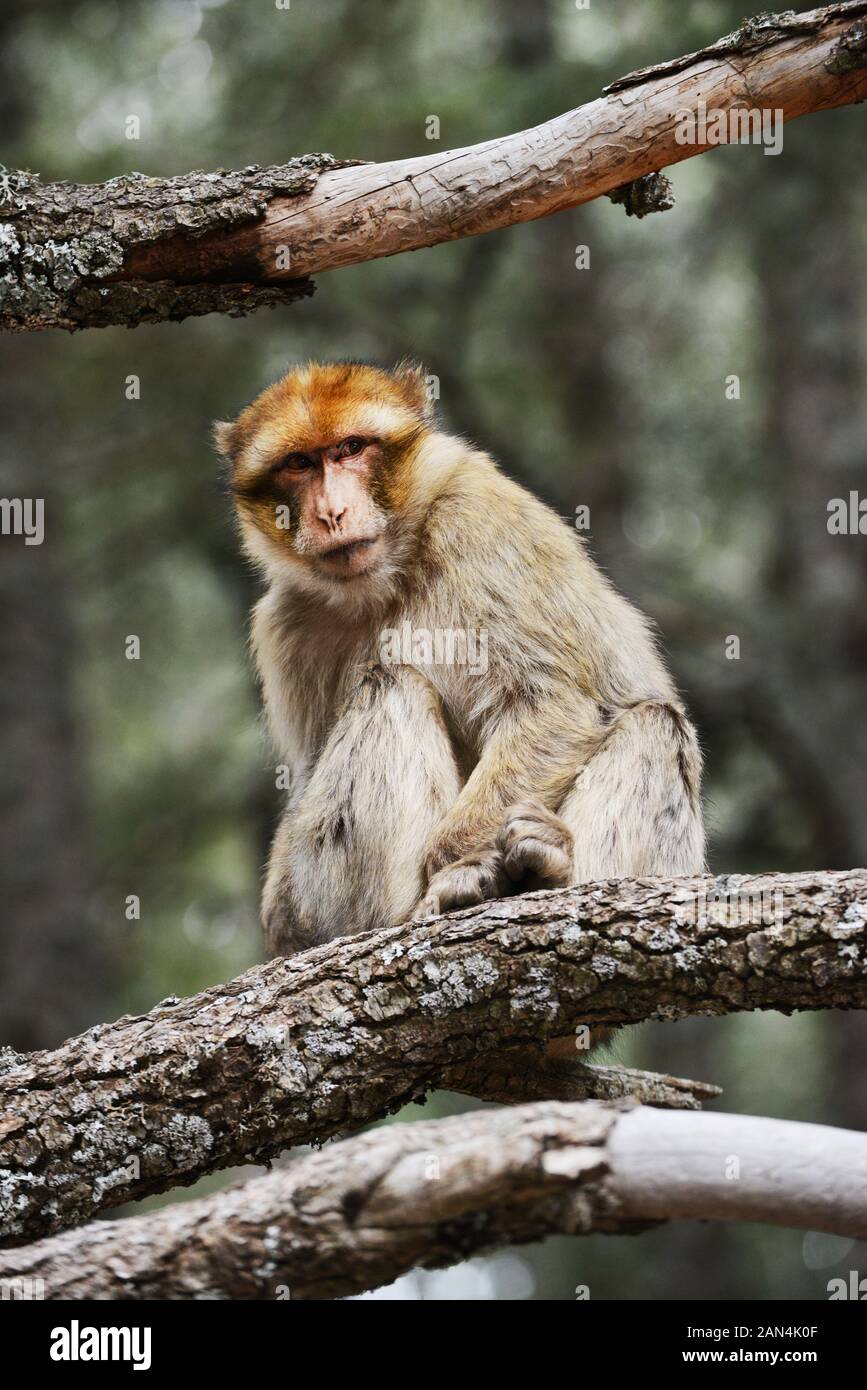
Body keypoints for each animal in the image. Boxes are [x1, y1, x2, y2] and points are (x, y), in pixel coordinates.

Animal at [214, 361, 705, 977]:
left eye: (351, 448)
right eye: (299, 464)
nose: (331, 512)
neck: (392, 575)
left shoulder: (480, 520)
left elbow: (553, 707)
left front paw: (460, 862)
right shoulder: (287, 620)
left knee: (656, 724)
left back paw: (541, 870)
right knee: (393, 685)